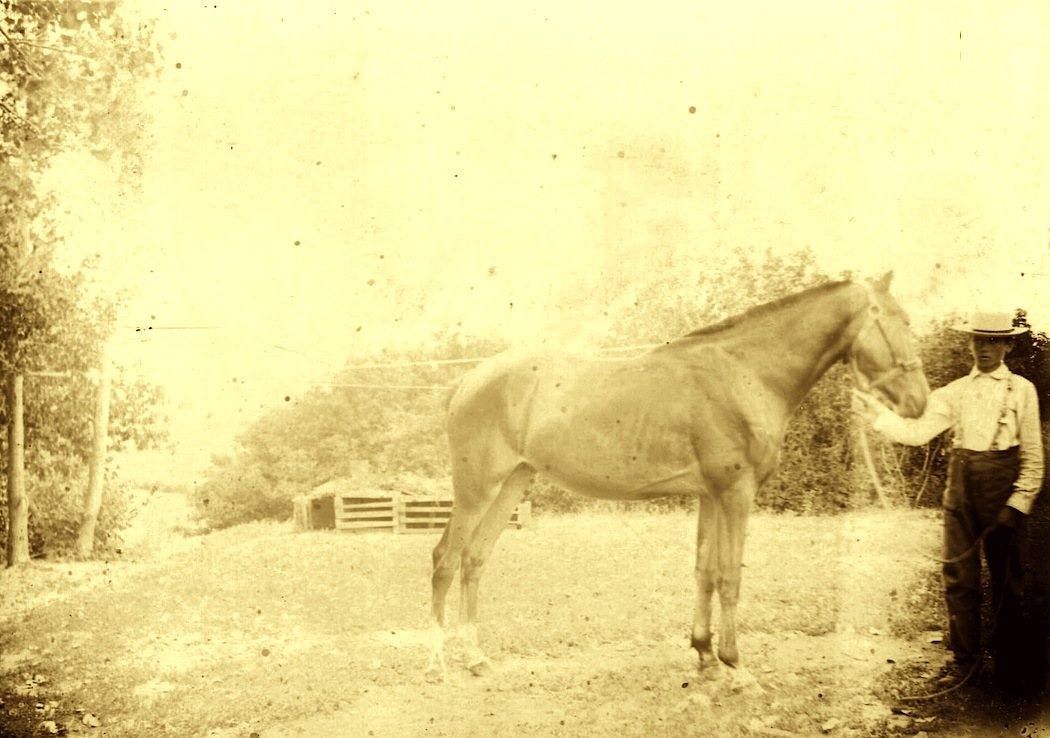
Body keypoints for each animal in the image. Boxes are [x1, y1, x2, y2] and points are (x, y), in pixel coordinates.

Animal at [426, 272, 929, 681]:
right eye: (900, 321)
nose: (919, 402)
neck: (744, 373)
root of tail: (469, 380)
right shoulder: (736, 492)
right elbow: (729, 576)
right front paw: (735, 665)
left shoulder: (710, 495)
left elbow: (704, 571)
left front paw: (704, 655)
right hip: (477, 489)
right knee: (445, 559)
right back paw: (438, 665)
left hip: (513, 483)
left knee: (474, 559)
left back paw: (476, 660)